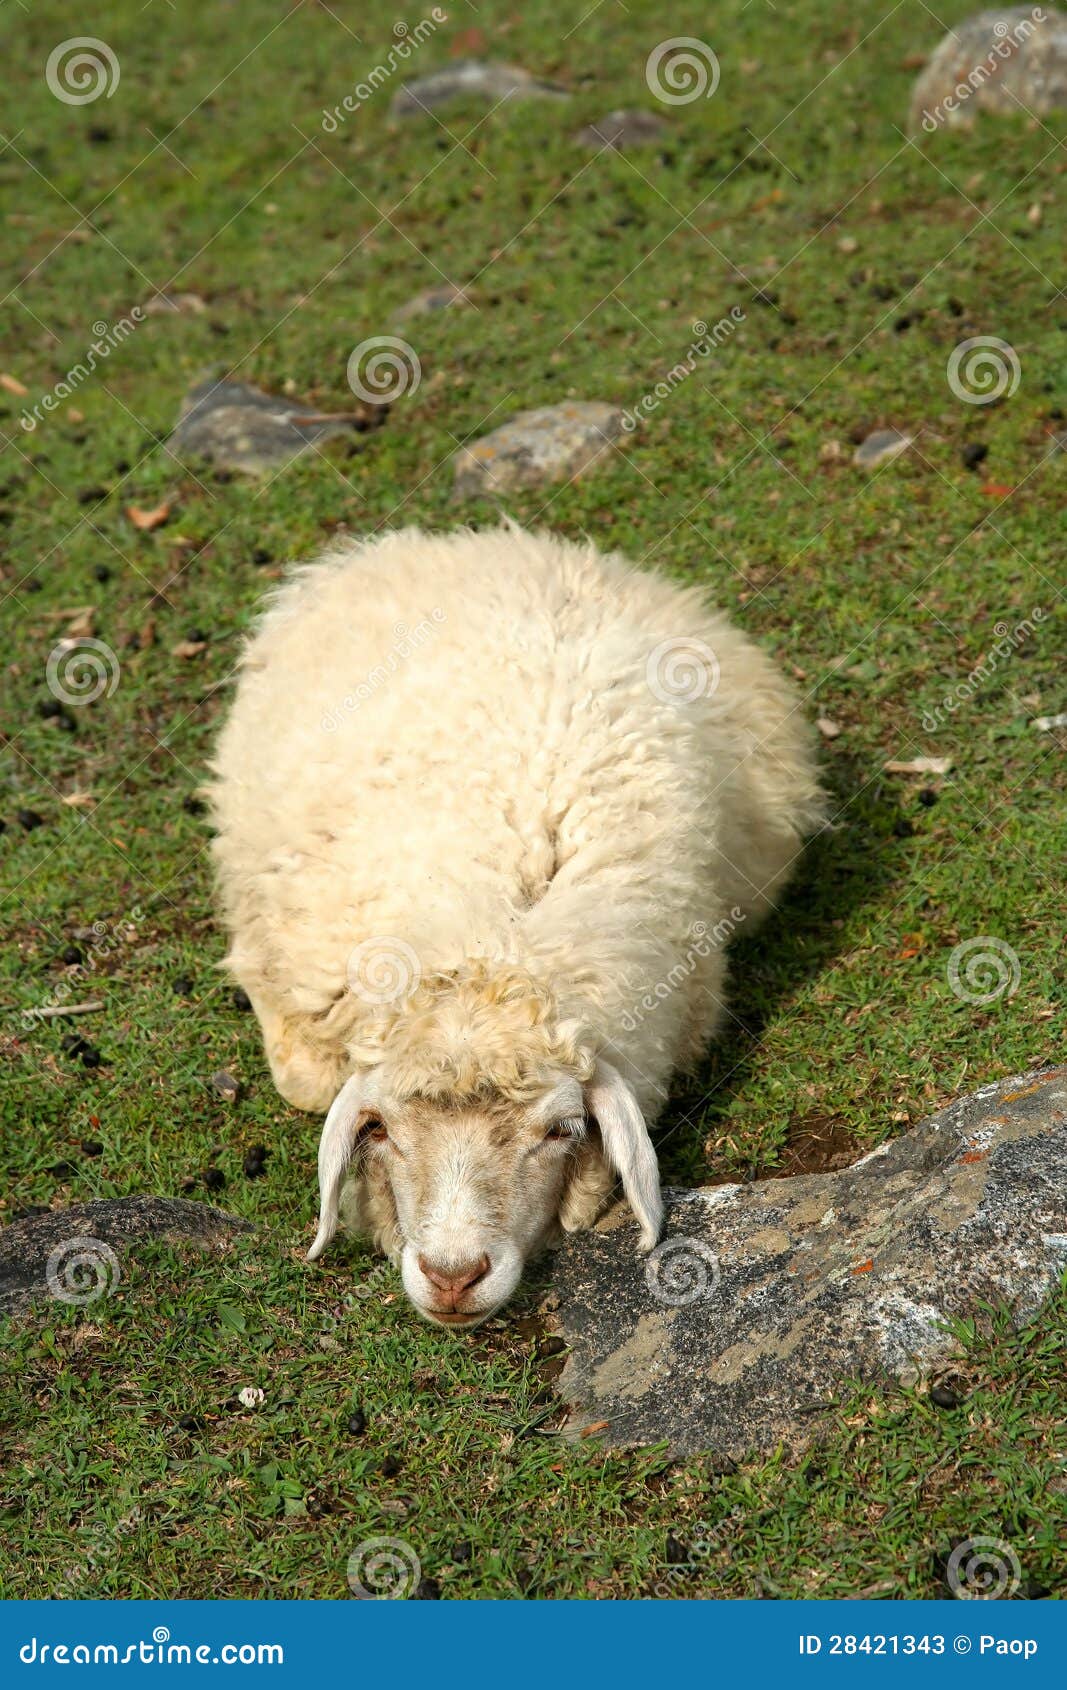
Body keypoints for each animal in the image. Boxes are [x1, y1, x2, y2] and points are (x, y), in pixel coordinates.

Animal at [209, 523, 824, 1327]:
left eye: (561, 1130)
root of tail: (492, 544)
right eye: (379, 1128)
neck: (495, 934)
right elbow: (305, 1079)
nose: (452, 1276)